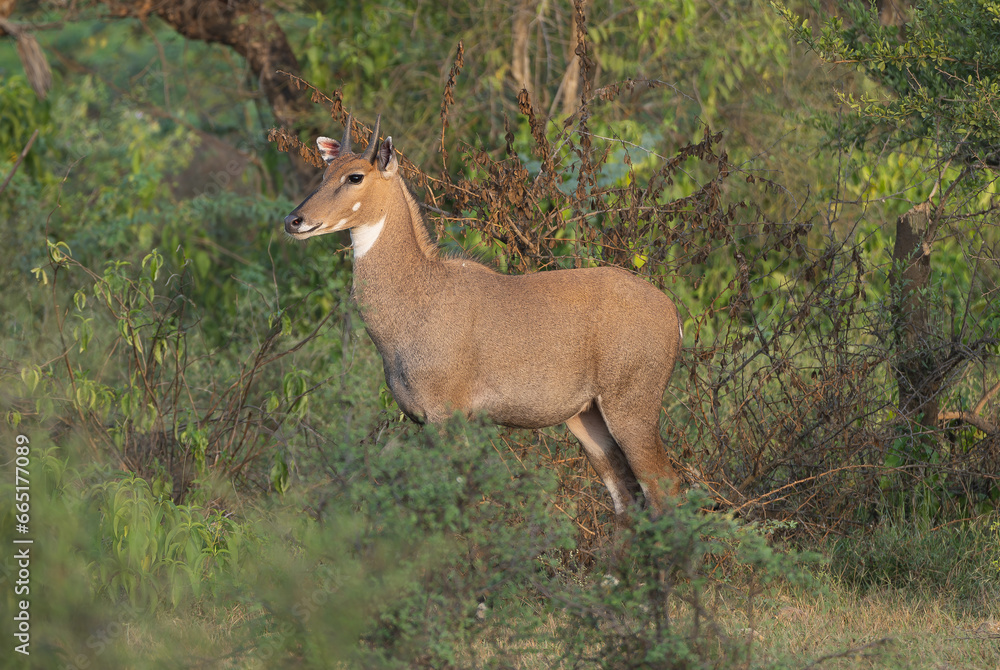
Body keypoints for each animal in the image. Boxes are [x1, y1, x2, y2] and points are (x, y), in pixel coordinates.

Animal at [283, 116, 685, 523]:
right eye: (324, 172)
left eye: (355, 176)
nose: (293, 220)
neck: (416, 300)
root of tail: (672, 313)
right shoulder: (423, 419)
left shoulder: (447, 415)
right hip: (586, 418)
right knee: (627, 501)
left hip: (632, 406)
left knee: (667, 491)